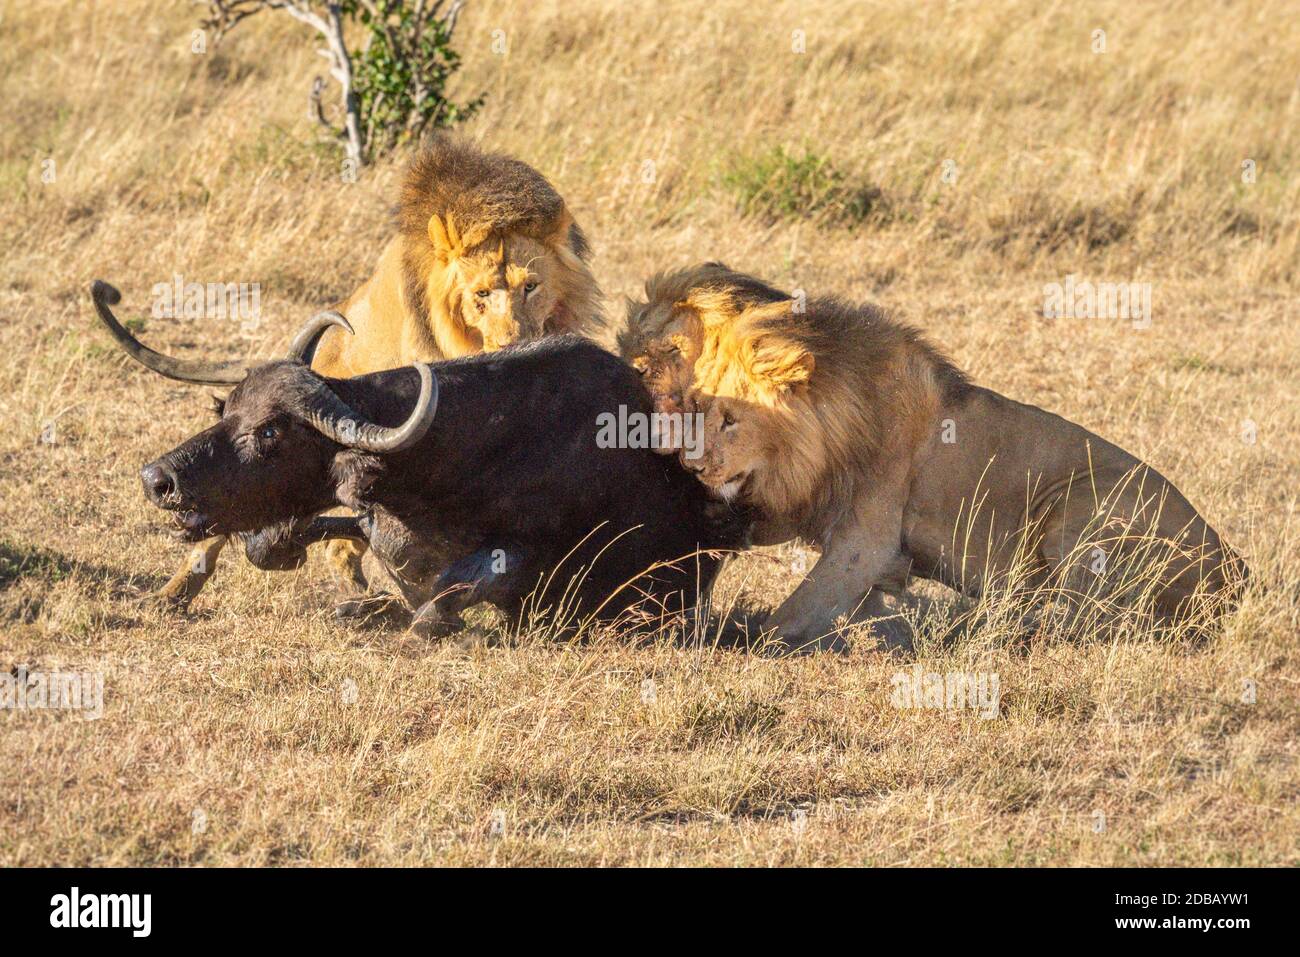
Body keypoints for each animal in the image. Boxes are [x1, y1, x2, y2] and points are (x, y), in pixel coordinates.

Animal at [680, 288, 1247, 653]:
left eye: (731, 420)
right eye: (696, 408)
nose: (693, 464)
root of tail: (1237, 572)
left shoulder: (865, 542)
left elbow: (785, 619)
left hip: (1077, 505)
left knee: (1096, 620)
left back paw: (996, 626)